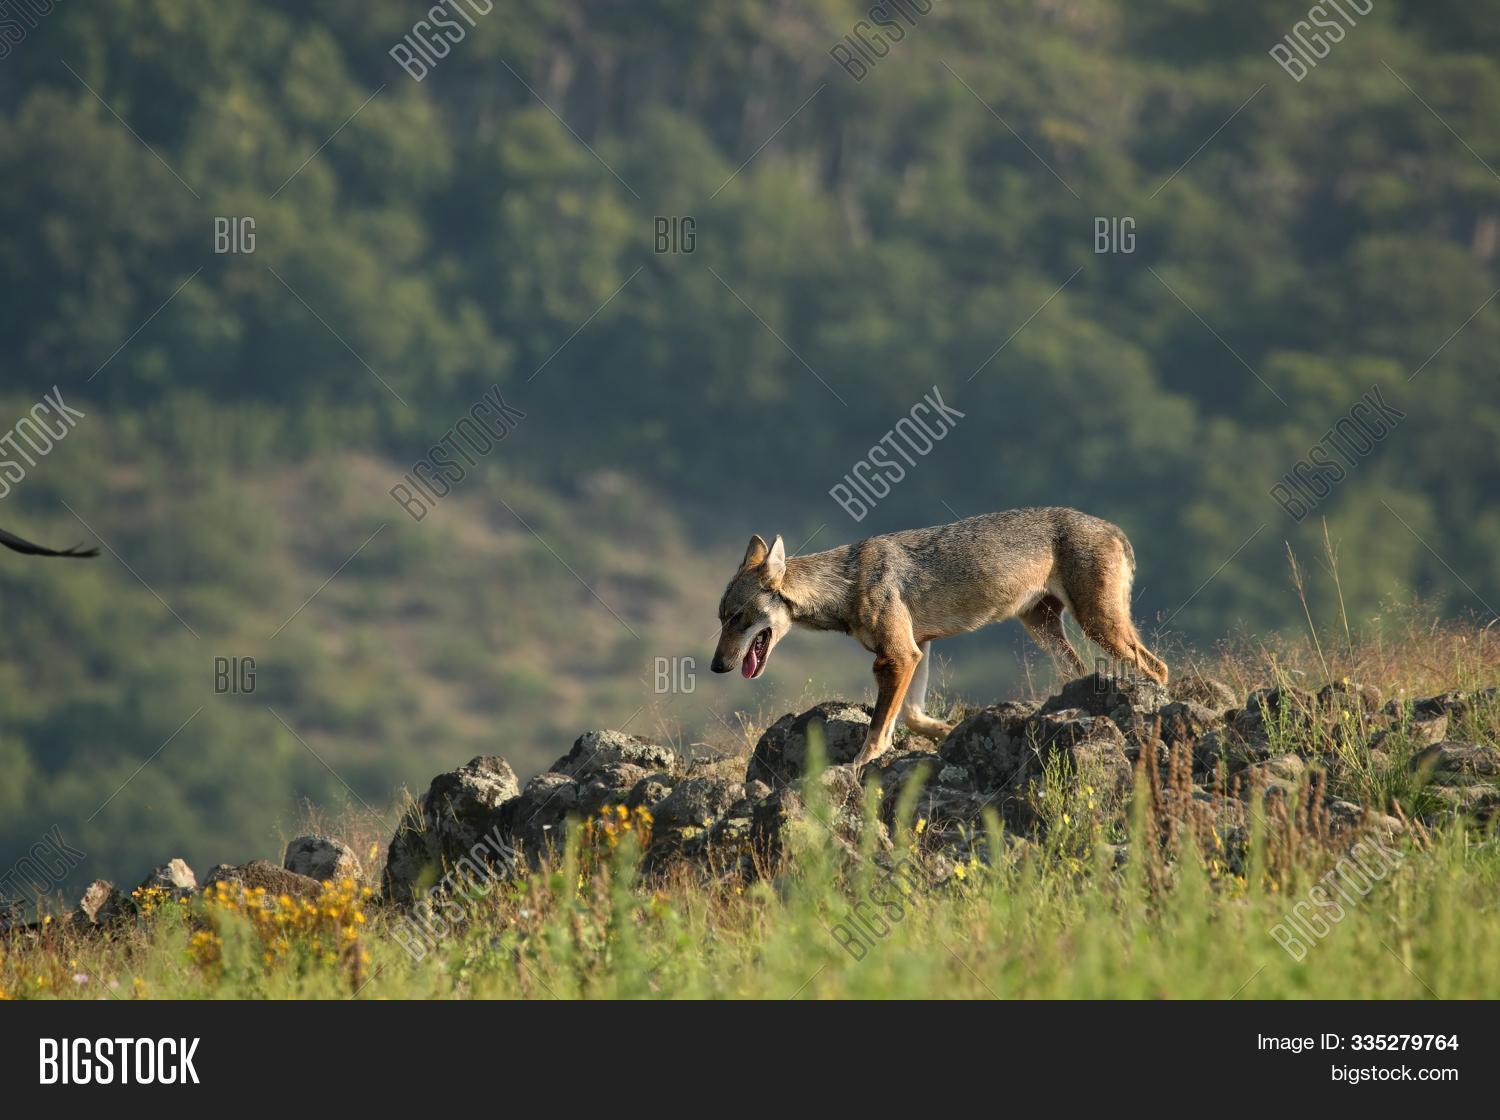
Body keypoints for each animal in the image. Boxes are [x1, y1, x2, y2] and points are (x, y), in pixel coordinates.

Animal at [711, 507, 1166, 768]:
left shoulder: (898, 656)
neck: (846, 583)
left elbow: (878, 732)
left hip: (1099, 626)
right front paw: (950, 732)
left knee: (1156, 668)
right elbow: (912, 716)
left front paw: (856, 767)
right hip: (1044, 627)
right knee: (1080, 669)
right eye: (721, 619)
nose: (717, 666)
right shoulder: (918, 649)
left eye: (738, 618)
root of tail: (1114, 528)